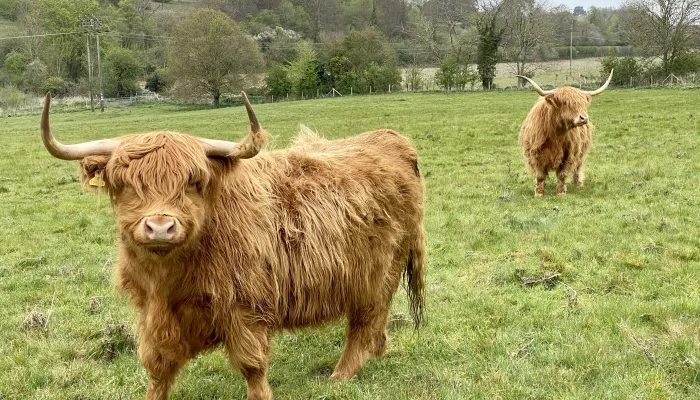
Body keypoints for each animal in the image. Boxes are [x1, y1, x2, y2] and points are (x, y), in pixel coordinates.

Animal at [39, 92, 425, 400]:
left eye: (193, 182)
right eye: (123, 183)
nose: (160, 226)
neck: (172, 277)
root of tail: (390, 140)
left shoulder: (244, 306)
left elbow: (251, 364)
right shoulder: (152, 311)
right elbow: (158, 366)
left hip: (378, 273)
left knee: (365, 321)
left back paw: (341, 375)